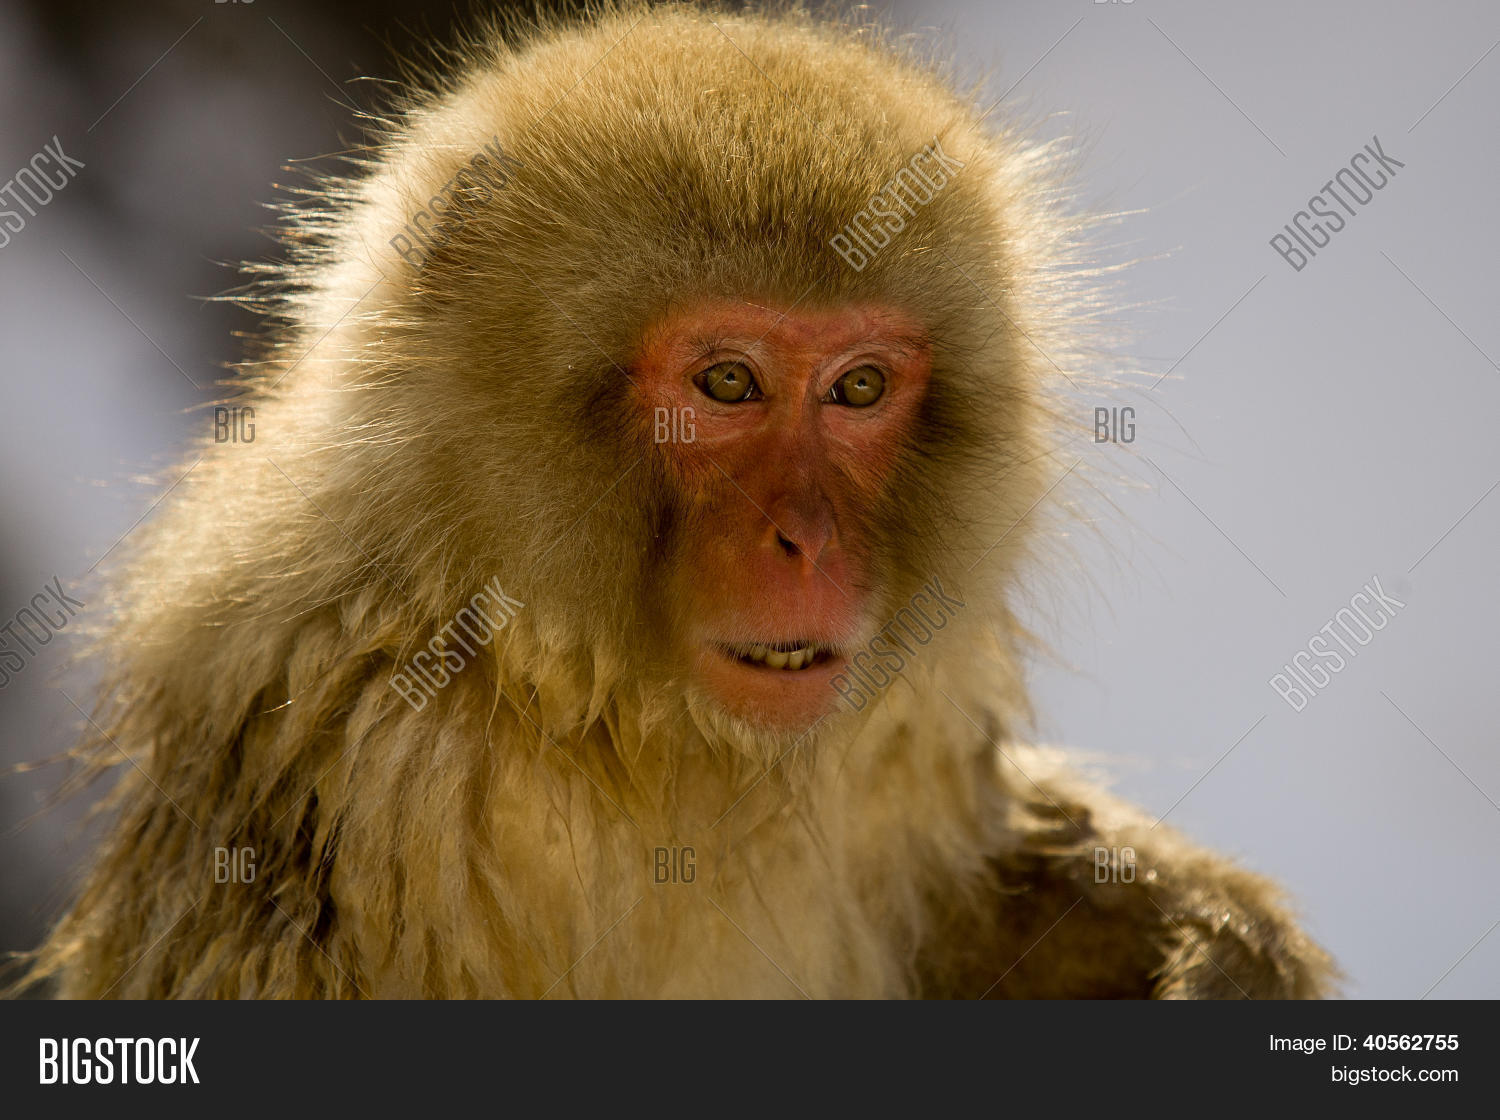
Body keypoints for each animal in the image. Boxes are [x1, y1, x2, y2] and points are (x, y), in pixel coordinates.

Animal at [19, 2, 1334, 999]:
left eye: (860, 387)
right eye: (727, 382)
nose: (806, 540)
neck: (588, 698)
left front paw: (1203, 932)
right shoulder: (379, 792)